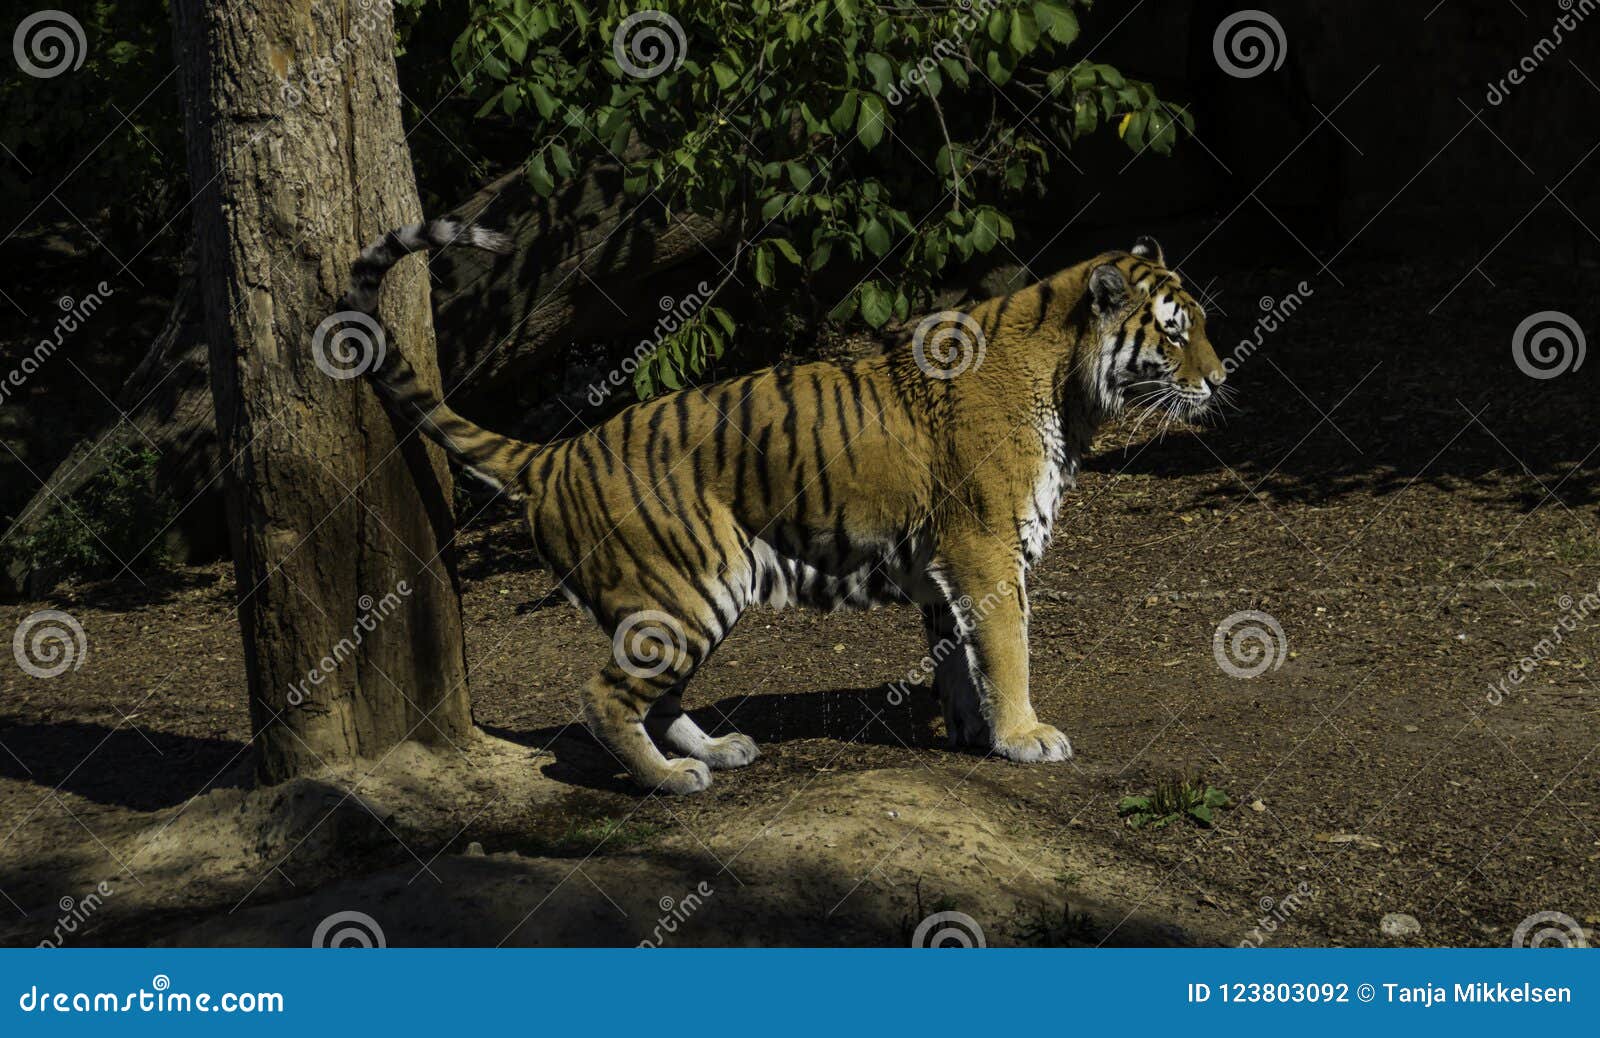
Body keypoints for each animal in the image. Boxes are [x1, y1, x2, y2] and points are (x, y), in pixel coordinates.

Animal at [338, 220, 1225, 794]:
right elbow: (1006, 652)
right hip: (688, 589)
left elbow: (957, 658)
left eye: (1204, 325)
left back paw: (717, 751)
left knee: (656, 694)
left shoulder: (946, 568)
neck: (1070, 385)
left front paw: (974, 733)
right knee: (603, 697)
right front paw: (1024, 737)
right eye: (1176, 334)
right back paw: (673, 780)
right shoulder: (987, 552)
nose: (1220, 379)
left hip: (684, 597)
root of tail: (555, 454)